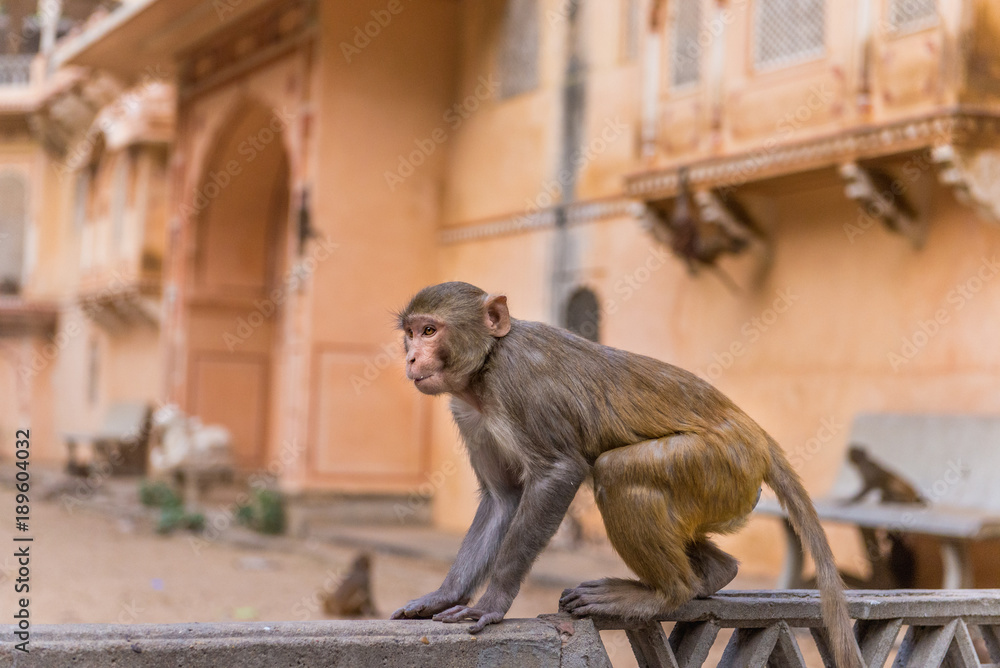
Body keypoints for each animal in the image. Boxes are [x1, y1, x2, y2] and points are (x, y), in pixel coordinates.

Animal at [389, 282, 861, 668]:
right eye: (410, 333)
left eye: (430, 331)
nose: (410, 357)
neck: (486, 365)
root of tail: (755, 435)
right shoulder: (467, 412)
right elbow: (503, 498)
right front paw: (445, 596)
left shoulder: (518, 382)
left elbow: (559, 473)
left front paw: (493, 602)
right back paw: (715, 572)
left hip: (720, 466)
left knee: (617, 471)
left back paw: (665, 592)